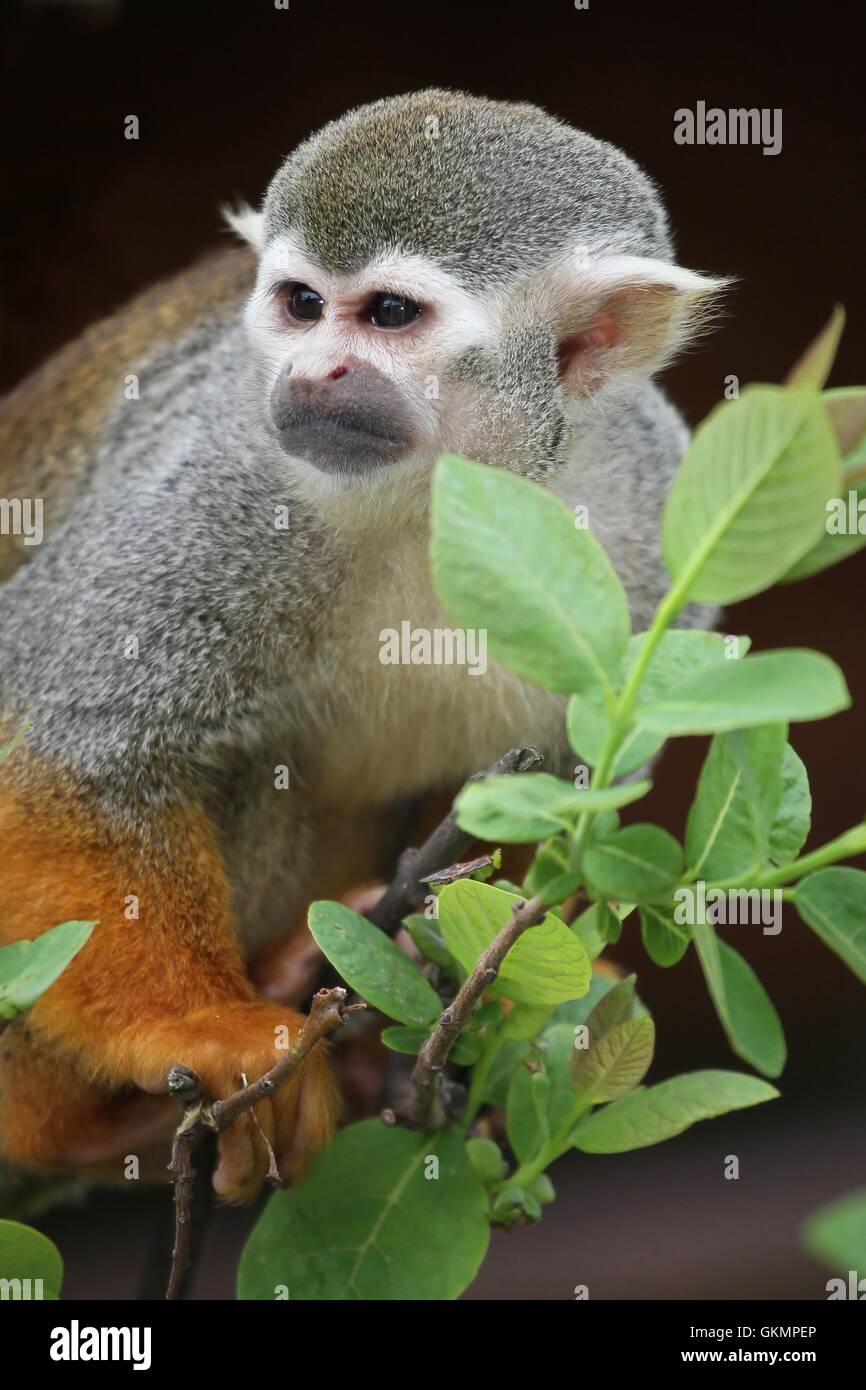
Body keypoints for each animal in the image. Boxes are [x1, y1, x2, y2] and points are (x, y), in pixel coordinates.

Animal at [0, 90, 722, 1201]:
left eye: (387, 316)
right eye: (301, 304)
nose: (312, 372)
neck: (444, 493)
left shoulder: (650, 532)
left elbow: (571, 798)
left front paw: (523, 988)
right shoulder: (230, 477)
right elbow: (70, 758)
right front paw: (211, 1027)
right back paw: (75, 1126)